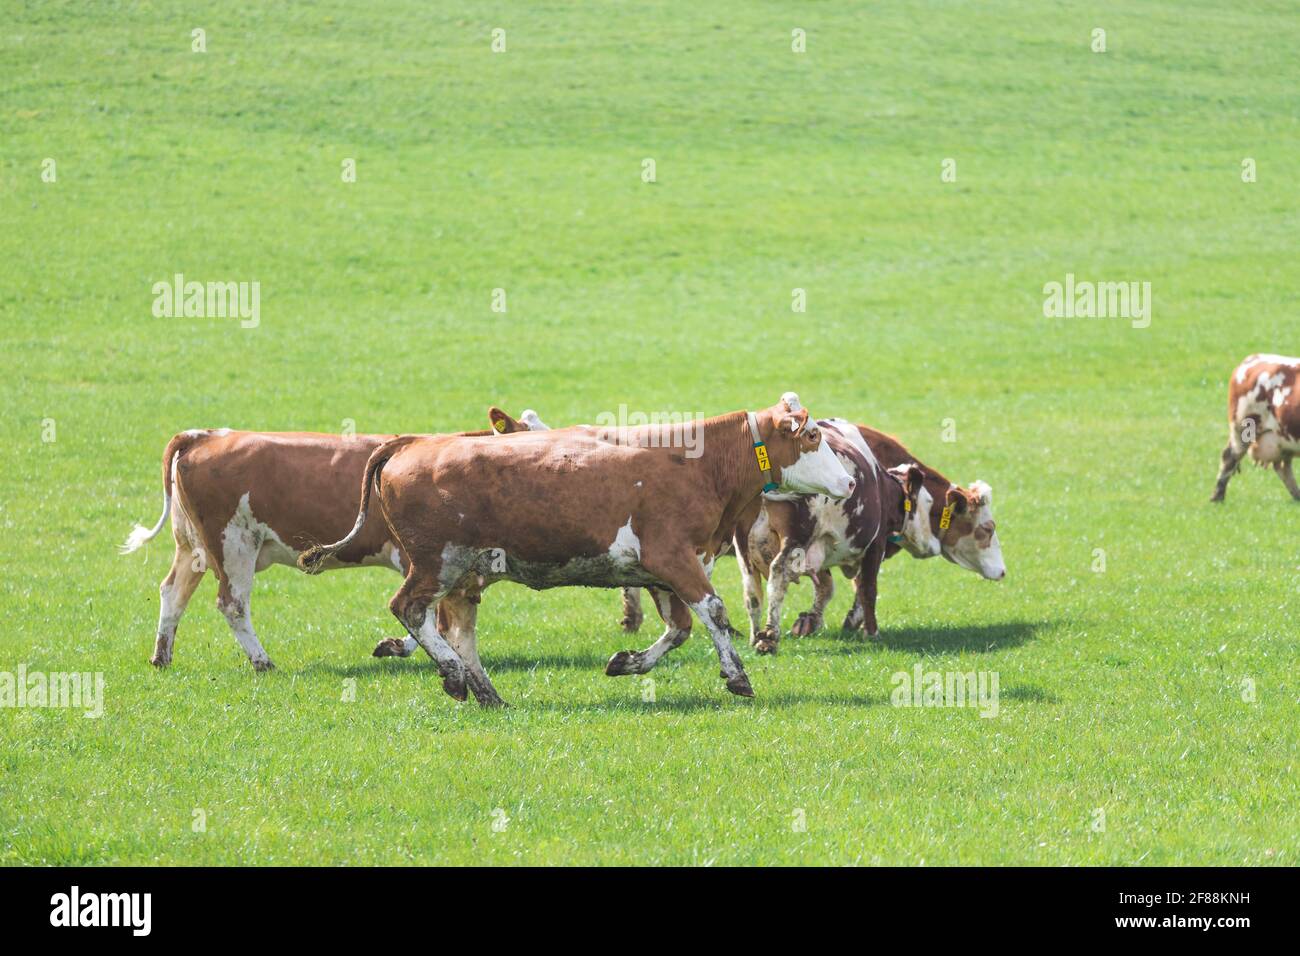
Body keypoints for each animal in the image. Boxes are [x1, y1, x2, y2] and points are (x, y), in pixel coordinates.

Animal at [119, 409, 547, 671]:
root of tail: (203, 435)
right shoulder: (431, 561)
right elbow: (428, 616)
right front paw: (398, 646)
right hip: (234, 544)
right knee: (232, 603)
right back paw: (263, 662)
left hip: (193, 547)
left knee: (173, 592)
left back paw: (162, 656)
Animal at [296, 393, 855, 705]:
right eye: (810, 436)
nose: (850, 481)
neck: (697, 463)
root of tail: (413, 444)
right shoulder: (674, 558)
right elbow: (713, 613)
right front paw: (737, 677)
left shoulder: (663, 571)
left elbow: (679, 628)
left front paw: (627, 663)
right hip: (436, 563)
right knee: (411, 609)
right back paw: (455, 677)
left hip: (463, 574)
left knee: (458, 631)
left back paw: (486, 694)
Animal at [618, 419, 1006, 636]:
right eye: (987, 528)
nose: (1002, 572)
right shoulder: (870, 546)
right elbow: (864, 589)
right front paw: (864, 628)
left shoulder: (820, 548)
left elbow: (827, 586)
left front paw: (810, 622)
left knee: (749, 589)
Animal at [1211, 354, 1300, 502]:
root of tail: (1252, 358)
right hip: (1241, 428)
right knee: (1229, 457)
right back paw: (1217, 498)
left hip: (1282, 438)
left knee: (1283, 467)